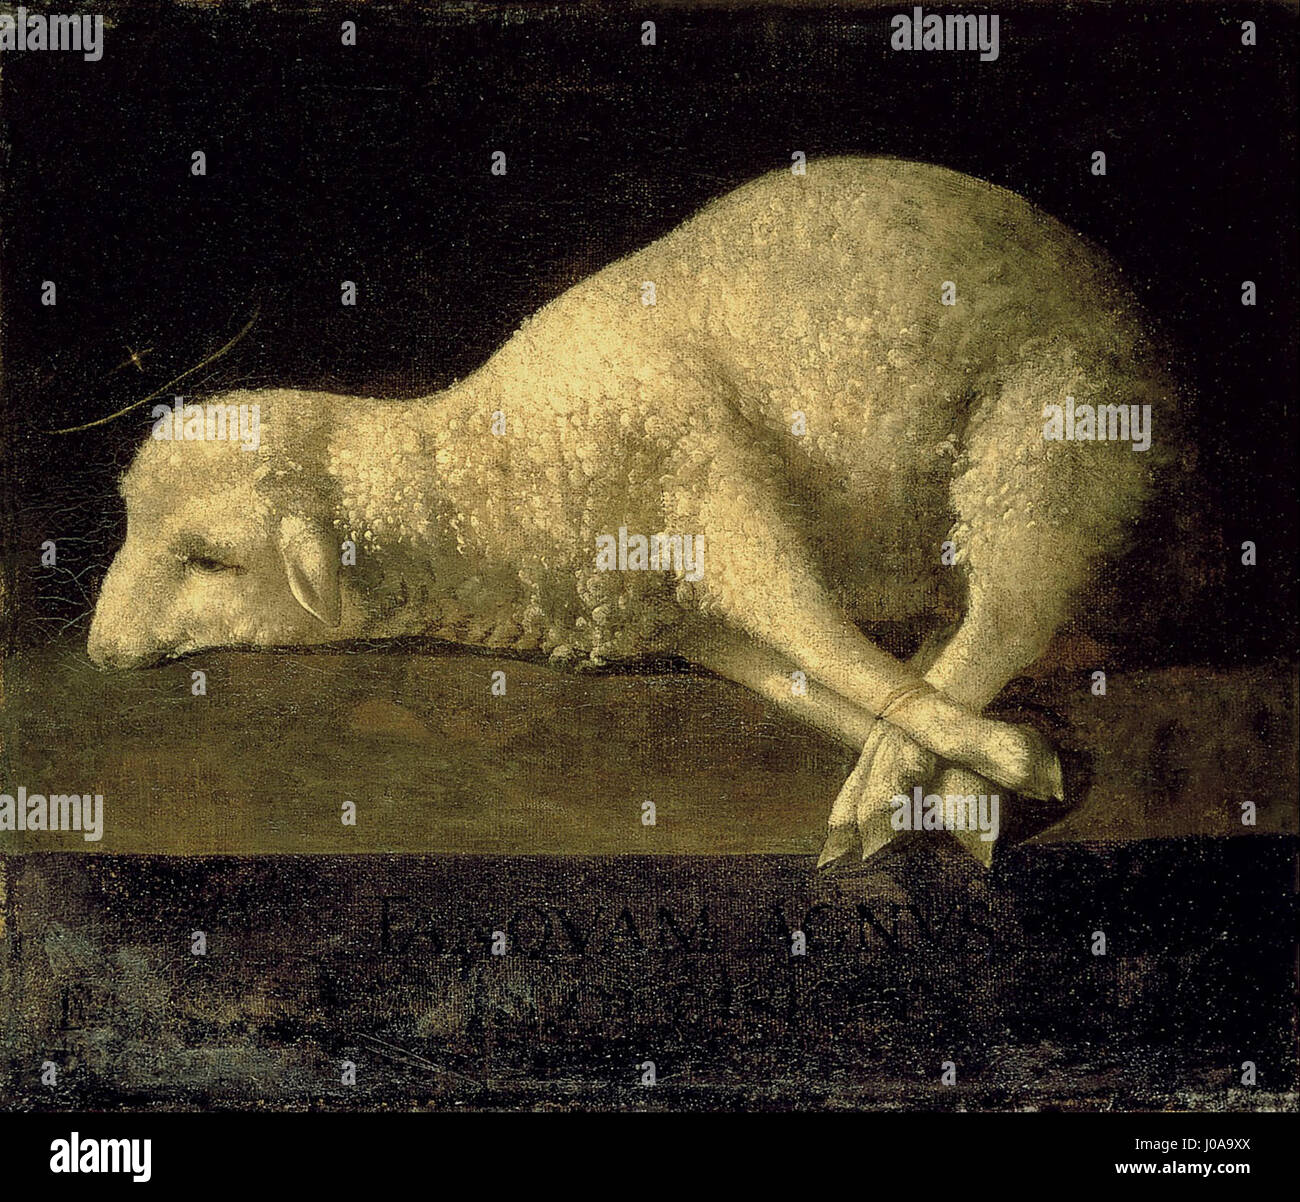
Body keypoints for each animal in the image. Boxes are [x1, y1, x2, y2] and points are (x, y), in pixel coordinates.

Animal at [87, 156, 1182, 865]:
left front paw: (988, 763)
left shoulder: (720, 504)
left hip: (1047, 443)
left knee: (1010, 612)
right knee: (964, 623)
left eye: (210, 561)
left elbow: (833, 648)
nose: (96, 652)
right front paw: (933, 773)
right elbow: (814, 687)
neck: (483, 473)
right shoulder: (683, 618)